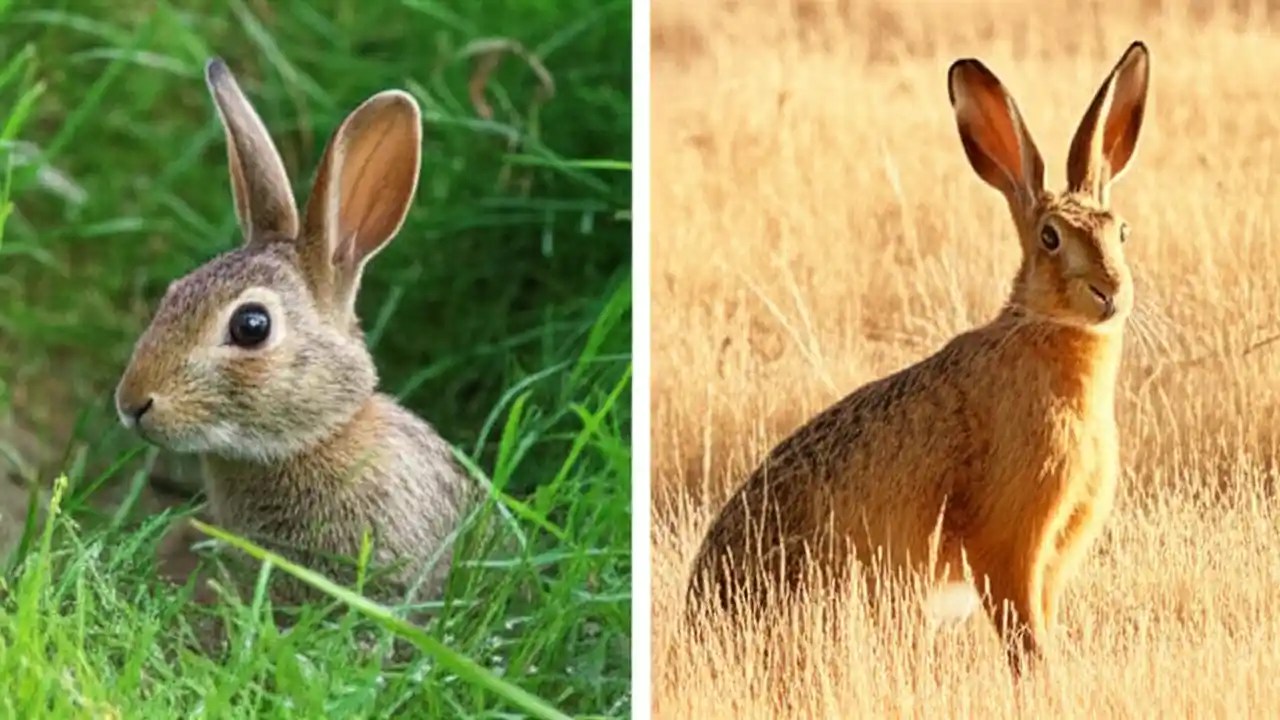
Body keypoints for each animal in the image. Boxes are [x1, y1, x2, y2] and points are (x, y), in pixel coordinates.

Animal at [686, 42, 1151, 675]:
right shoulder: (1007, 543)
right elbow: (1023, 635)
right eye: (1050, 238)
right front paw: (1045, 681)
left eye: (1121, 231)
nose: (1110, 293)